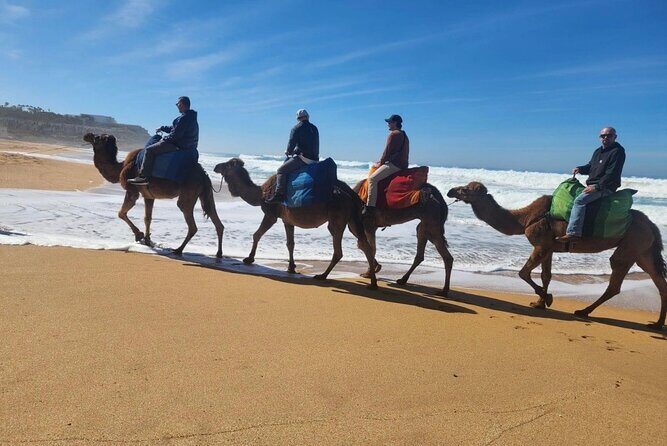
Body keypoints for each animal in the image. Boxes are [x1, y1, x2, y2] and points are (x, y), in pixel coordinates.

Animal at [83, 133, 224, 258]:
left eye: (97, 137)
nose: (86, 135)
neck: (121, 167)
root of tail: (204, 174)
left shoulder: (132, 191)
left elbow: (121, 213)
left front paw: (139, 235)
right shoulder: (148, 196)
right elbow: (147, 218)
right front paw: (147, 240)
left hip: (189, 192)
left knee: (191, 222)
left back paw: (178, 250)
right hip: (206, 194)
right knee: (216, 220)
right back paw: (218, 254)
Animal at [213, 158, 378, 288]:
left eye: (227, 164)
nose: (215, 166)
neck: (261, 193)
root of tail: (352, 194)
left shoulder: (271, 214)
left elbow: (257, 234)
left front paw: (249, 258)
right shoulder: (287, 219)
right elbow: (290, 243)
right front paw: (291, 267)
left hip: (337, 218)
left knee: (340, 249)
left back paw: (323, 276)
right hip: (353, 220)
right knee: (364, 244)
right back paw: (372, 282)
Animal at [447, 182, 667, 329]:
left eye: (465, 189)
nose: (450, 191)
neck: (525, 218)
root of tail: (652, 225)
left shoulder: (541, 244)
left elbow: (523, 273)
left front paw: (547, 298)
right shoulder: (550, 247)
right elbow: (546, 275)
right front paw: (539, 303)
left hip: (631, 245)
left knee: (616, 279)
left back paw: (584, 311)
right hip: (643, 251)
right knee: (659, 281)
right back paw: (656, 324)